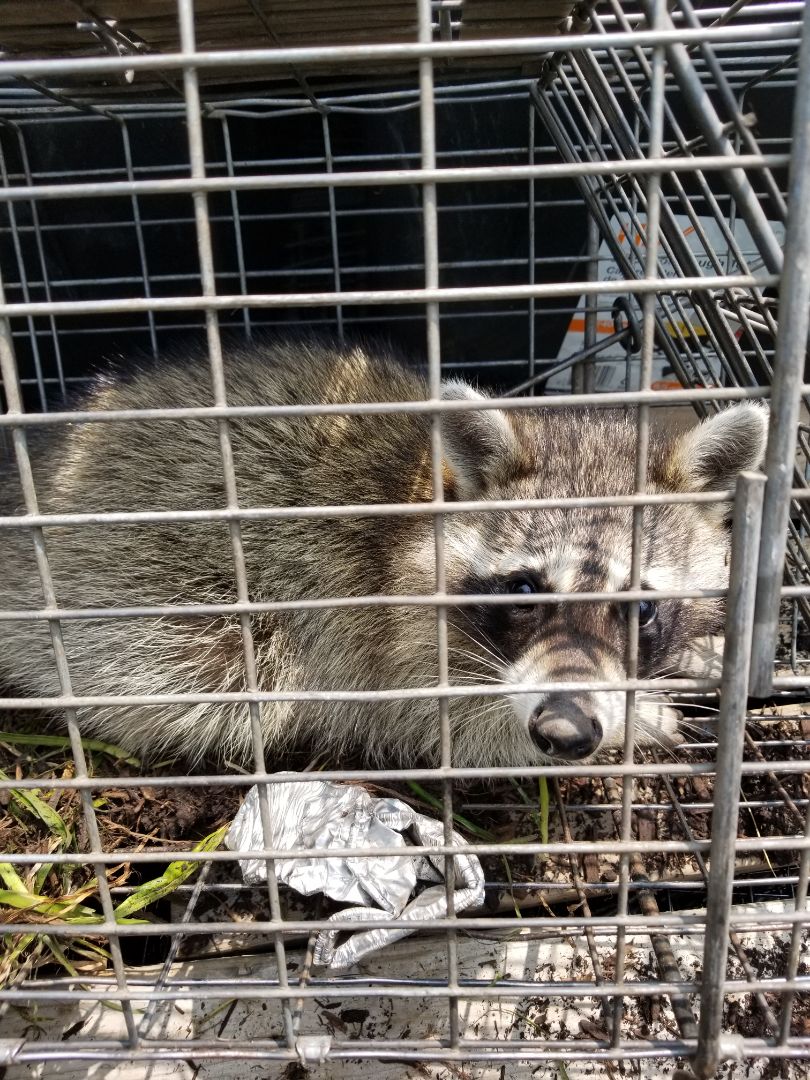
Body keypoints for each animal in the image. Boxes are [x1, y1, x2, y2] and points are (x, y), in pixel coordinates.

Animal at [0, 340, 766, 768]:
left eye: (642, 609)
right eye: (524, 591)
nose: (568, 728)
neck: (432, 495)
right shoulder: (383, 634)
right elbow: (448, 723)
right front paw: (639, 722)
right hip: (144, 584)